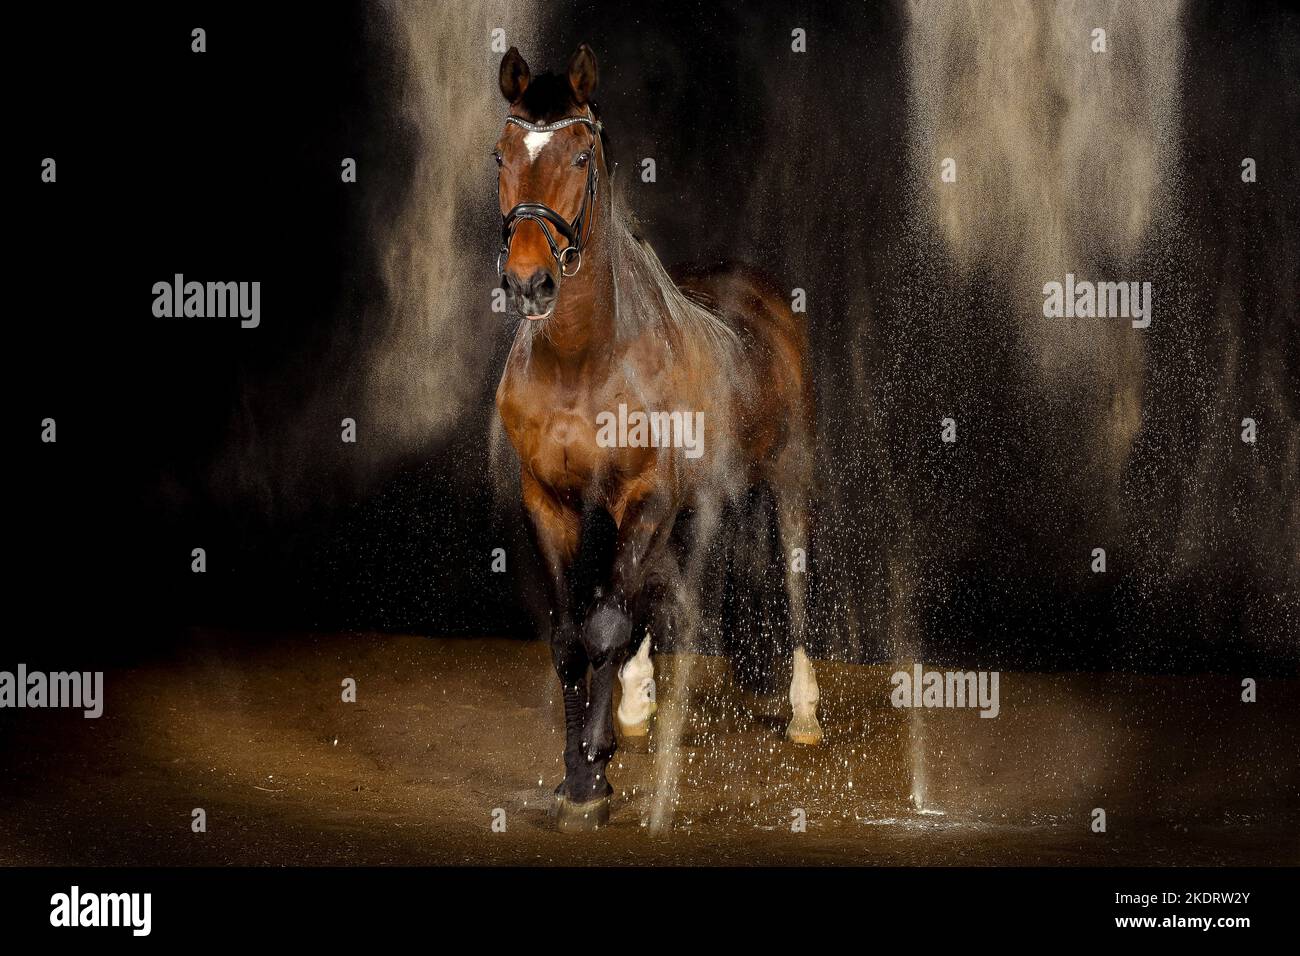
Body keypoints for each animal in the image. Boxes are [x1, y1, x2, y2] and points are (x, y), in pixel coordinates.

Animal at [492, 44, 822, 830]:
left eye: (581, 156)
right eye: (502, 153)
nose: (528, 283)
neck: (583, 357)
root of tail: (762, 295)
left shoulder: (644, 495)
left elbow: (607, 624)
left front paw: (591, 781)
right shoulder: (550, 501)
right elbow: (571, 637)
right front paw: (579, 770)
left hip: (789, 472)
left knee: (795, 576)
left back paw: (803, 712)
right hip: (693, 498)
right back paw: (640, 699)